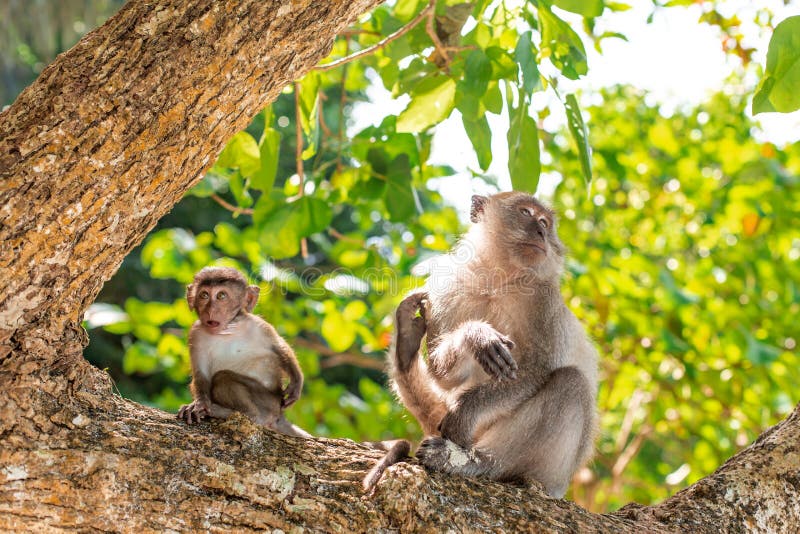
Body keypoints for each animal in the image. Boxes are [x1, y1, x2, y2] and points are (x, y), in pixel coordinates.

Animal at [177, 266, 311, 438]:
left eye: (221, 296)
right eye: (204, 295)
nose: (210, 310)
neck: (226, 330)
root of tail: (279, 415)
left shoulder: (258, 325)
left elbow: (279, 347)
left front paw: (296, 383)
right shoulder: (196, 333)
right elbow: (201, 374)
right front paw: (199, 404)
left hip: (268, 401)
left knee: (224, 378)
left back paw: (242, 414)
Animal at [386, 192, 598, 498]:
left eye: (545, 222)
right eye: (526, 213)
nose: (541, 232)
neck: (496, 279)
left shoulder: (543, 298)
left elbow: (535, 370)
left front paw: (464, 414)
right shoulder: (445, 287)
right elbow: (443, 376)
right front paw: (476, 336)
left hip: (552, 472)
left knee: (570, 382)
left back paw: (477, 463)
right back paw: (405, 345)